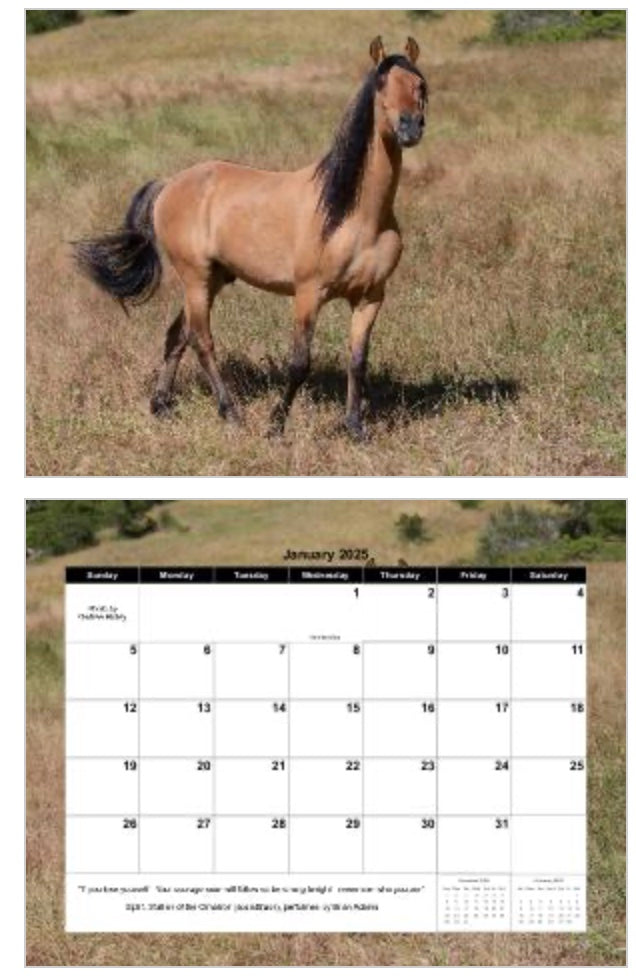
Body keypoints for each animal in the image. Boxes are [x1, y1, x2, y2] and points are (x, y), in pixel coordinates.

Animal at [73, 36, 428, 439]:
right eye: (381, 85)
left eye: (420, 85)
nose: (410, 127)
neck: (356, 216)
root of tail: (168, 185)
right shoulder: (309, 294)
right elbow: (299, 363)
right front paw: (276, 425)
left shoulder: (370, 297)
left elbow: (357, 361)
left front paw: (355, 427)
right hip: (195, 279)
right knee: (201, 341)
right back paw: (231, 413)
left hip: (213, 278)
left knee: (177, 335)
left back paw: (161, 405)